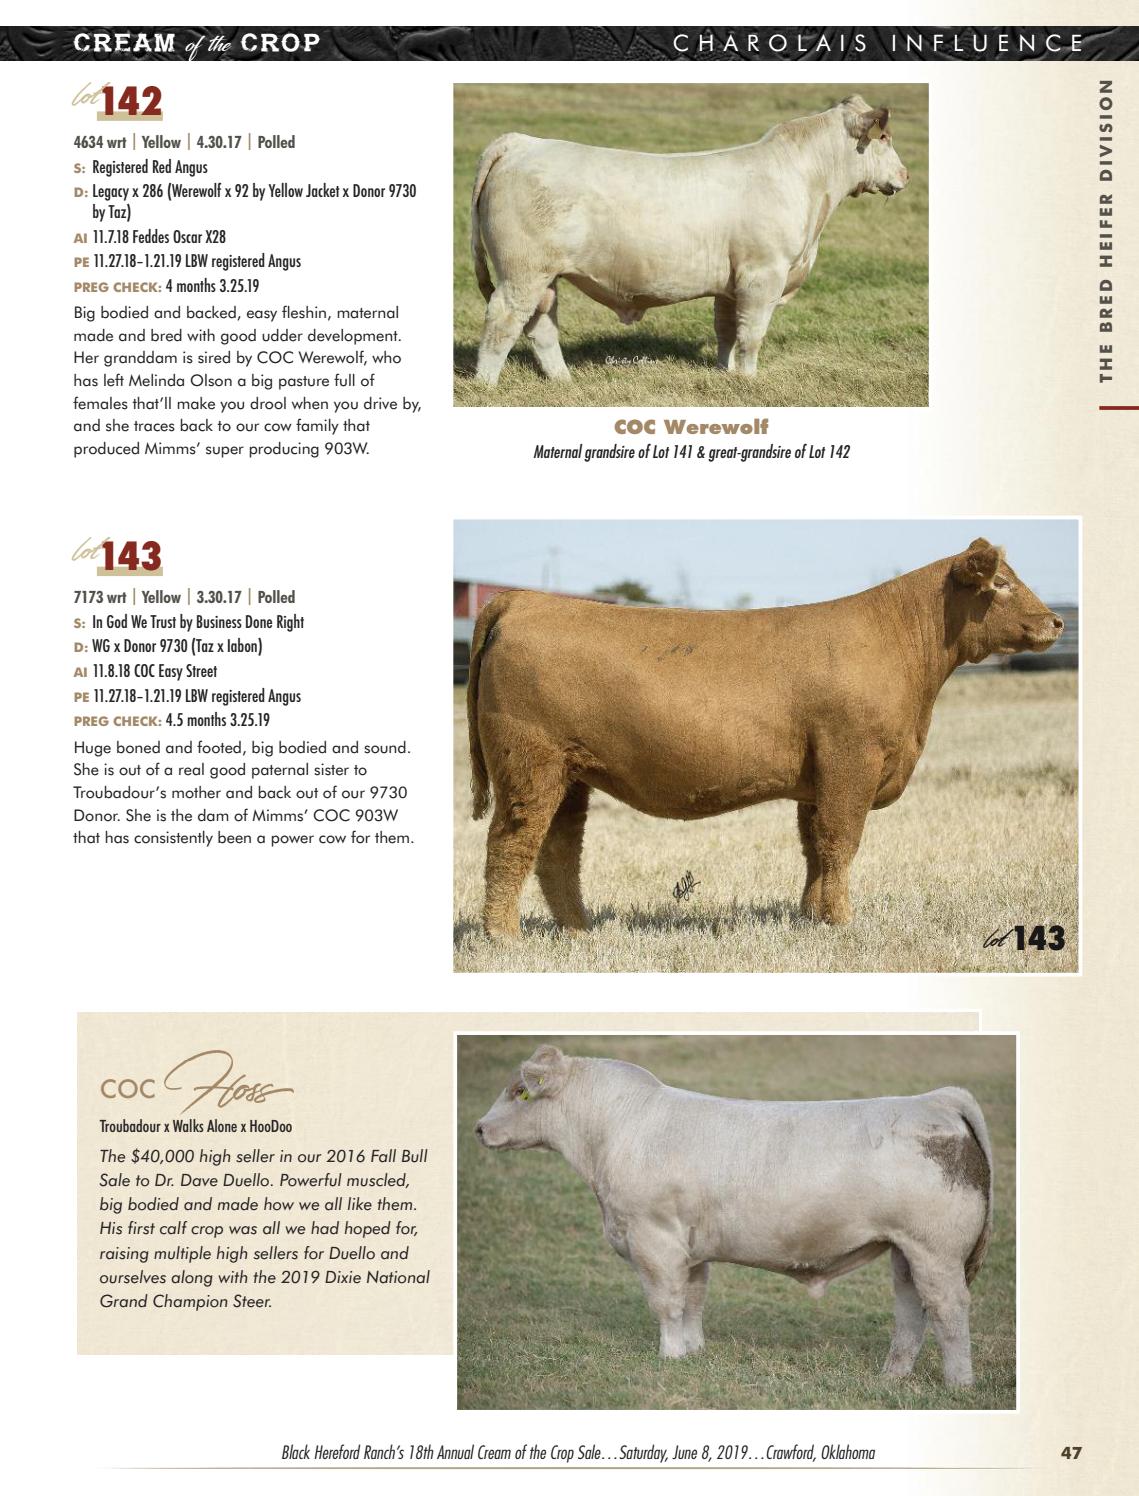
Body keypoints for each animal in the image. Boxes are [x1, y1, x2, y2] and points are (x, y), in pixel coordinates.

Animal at [466, 538, 1064, 937]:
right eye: (1000, 583)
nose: (1056, 622)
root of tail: (525, 600)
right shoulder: (851, 759)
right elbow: (840, 842)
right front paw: (842, 925)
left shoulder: (816, 779)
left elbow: (814, 848)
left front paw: (811, 918)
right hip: (530, 764)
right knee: (512, 842)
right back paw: (504, 938)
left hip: (571, 772)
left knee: (558, 850)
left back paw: (581, 930)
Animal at [468, 95, 910, 386]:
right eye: (884, 137)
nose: (906, 175)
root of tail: (523, 141)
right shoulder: (763, 274)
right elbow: (752, 335)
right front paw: (750, 381)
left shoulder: (732, 284)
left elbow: (727, 331)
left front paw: (726, 375)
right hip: (522, 271)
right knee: (502, 320)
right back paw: (486, 385)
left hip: (545, 276)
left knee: (540, 326)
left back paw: (564, 381)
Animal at [475, 1046, 994, 1385]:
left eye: (519, 1091)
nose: (478, 1128)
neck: (614, 1130)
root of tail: (935, 1099)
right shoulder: (691, 1246)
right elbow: (693, 1300)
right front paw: (692, 1353)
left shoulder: (653, 1237)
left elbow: (666, 1302)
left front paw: (668, 1357)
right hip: (904, 1249)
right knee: (910, 1310)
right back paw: (892, 1377)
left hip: (936, 1249)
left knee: (948, 1309)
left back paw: (957, 1384)